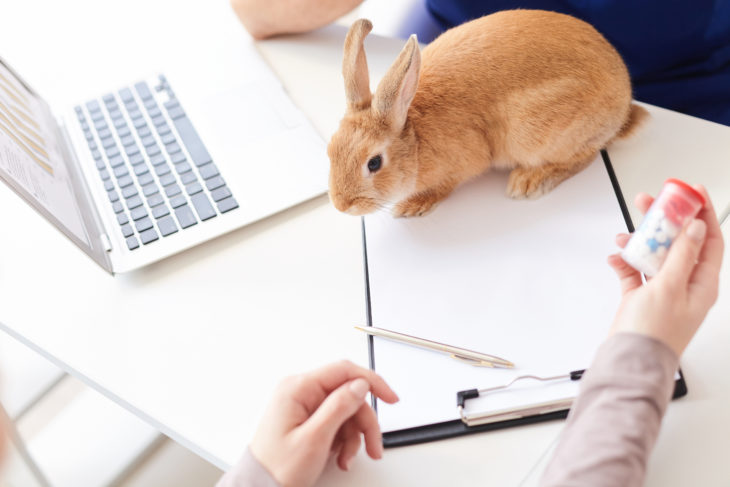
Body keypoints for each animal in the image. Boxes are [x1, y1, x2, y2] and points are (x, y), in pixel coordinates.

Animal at [327, 10, 648, 217]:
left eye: (374, 163)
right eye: (330, 150)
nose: (341, 205)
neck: (415, 135)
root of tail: (623, 103)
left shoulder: (465, 160)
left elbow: (446, 185)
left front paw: (412, 206)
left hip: (537, 134)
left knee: (585, 156)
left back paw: (528, 182)